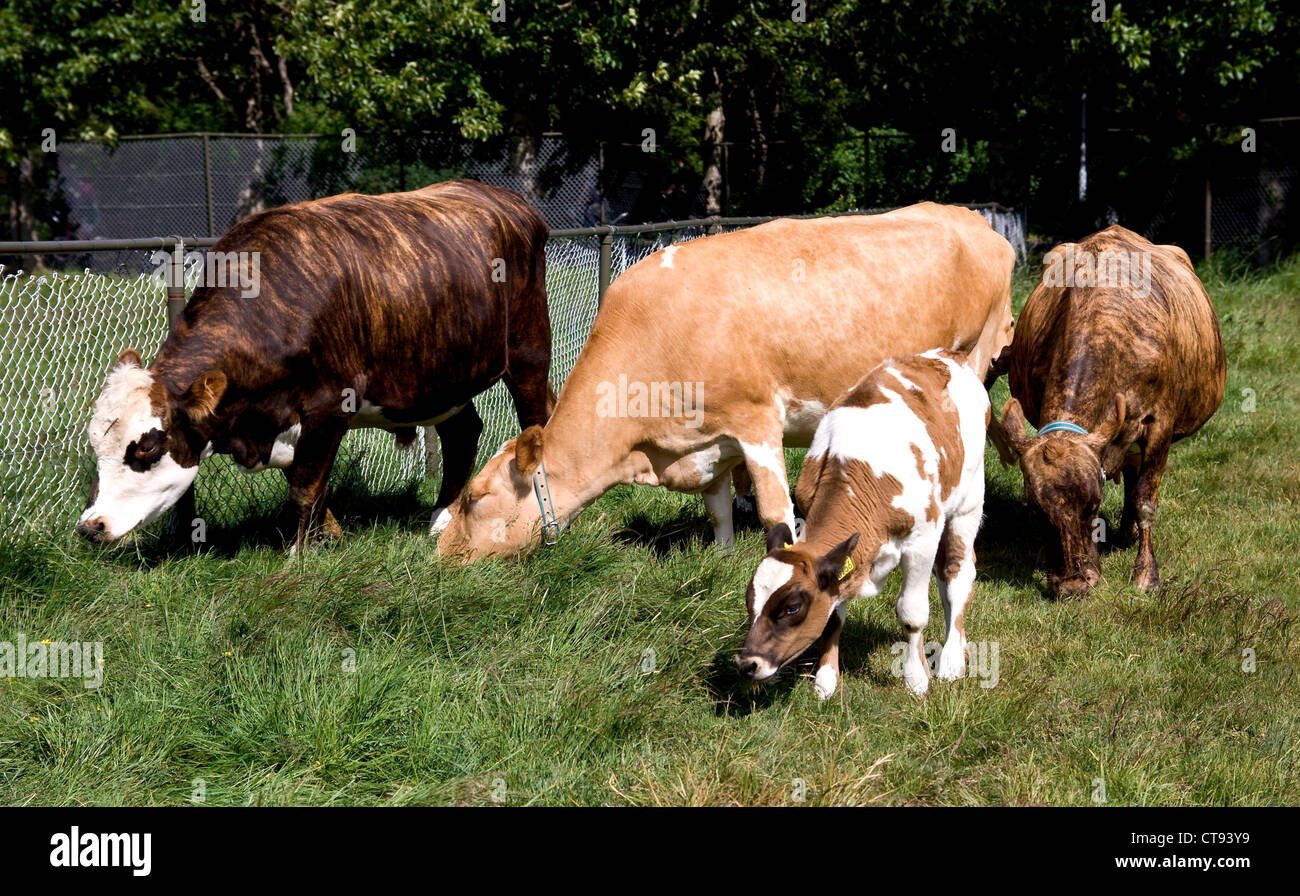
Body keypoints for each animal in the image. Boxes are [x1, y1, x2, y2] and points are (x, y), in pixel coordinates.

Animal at [79, 180, 553, 552]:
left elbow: (304, 488)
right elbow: (314, 484)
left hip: (528, 354)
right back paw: (442, 519)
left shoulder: (328, 406)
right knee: (463, 433)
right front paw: (330, 539)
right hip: (442, 380)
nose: (90, 526)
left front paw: (297, 556)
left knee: (536, 423)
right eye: (95, 447)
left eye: (147, 447)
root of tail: (505, 199)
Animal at [437, 202, 1015, 562]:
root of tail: (975, 222)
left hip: (975, 361)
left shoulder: (757, 421)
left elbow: (777, 514)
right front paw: (721, 558)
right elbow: (716, 511)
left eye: (473, 497)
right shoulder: (707, 438)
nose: (438, 554)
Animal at [735, 351, 989, 698]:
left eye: (792, 607)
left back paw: (950, 660)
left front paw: (916, 679)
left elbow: (912, 613)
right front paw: (826, 679)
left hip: (968, 502)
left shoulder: (922, 539)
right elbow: (833, 617)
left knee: (956, 573)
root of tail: (946, 355)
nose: (748, 663)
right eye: (750, 600)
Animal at [997, 225, 1226, 596]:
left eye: (1093, 503)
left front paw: (1146, 575)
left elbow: (1146, 500)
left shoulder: (1159, 424)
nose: (1075, 584)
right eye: (1033, 508)